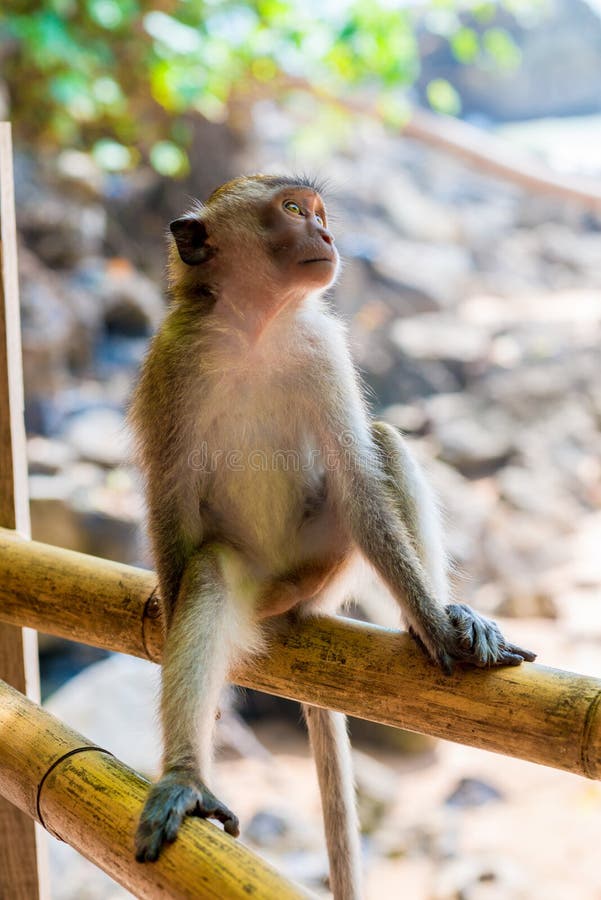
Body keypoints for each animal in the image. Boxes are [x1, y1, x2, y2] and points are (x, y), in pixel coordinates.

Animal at [129, 174, 535, 898]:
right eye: (292, 211)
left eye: (316, 213)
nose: (324, 233)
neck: (255, 328)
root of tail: (292, 600)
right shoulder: (170, 363)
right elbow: (170, 507)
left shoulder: (322, 348)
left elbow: (358, 479)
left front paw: (436, 623)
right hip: (260, 585)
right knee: (209, 571)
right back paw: (186, 779)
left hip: (319, 569)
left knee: (382, 444)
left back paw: (435, 618)